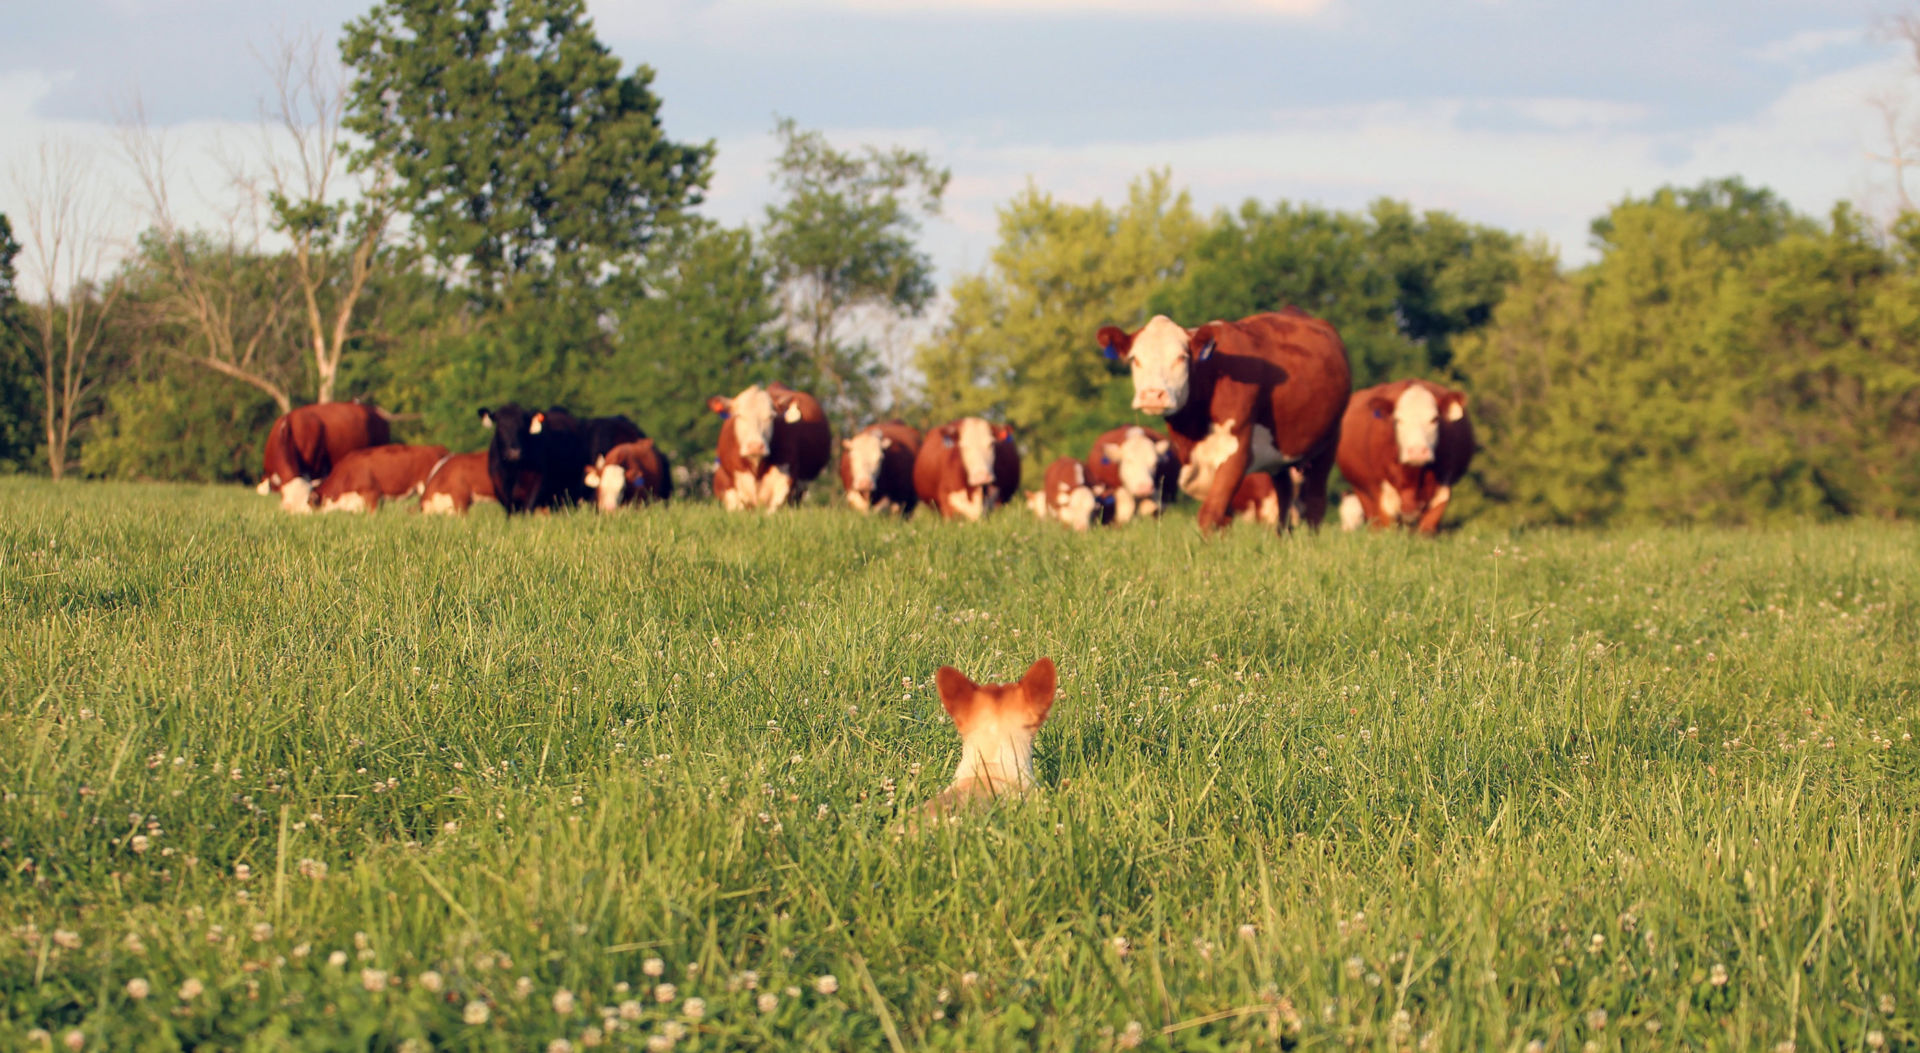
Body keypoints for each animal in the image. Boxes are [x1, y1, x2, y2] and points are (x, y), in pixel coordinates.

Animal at [707, 383, 832, 513]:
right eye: (739, 415)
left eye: (771, 416)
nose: (755, 446)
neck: (757, 467)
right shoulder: (728, 487)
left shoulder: (785, 482)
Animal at [1096, 309, 1351, 533]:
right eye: (1134, 359)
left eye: (1181, 357)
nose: (1152, 395)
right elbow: (1223, 518)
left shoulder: (1236, 453)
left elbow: (1210, 515)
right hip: (1280, 454)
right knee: (1285, 497)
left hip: (1329, 441)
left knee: (1315, 503)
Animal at [1335, 379, 1473, 534]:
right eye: (1398, 420)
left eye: (1435, 419)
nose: (1417, 451)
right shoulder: (1383, 495)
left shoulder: (1442, 490)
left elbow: (1426, 531)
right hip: (1361, 490)